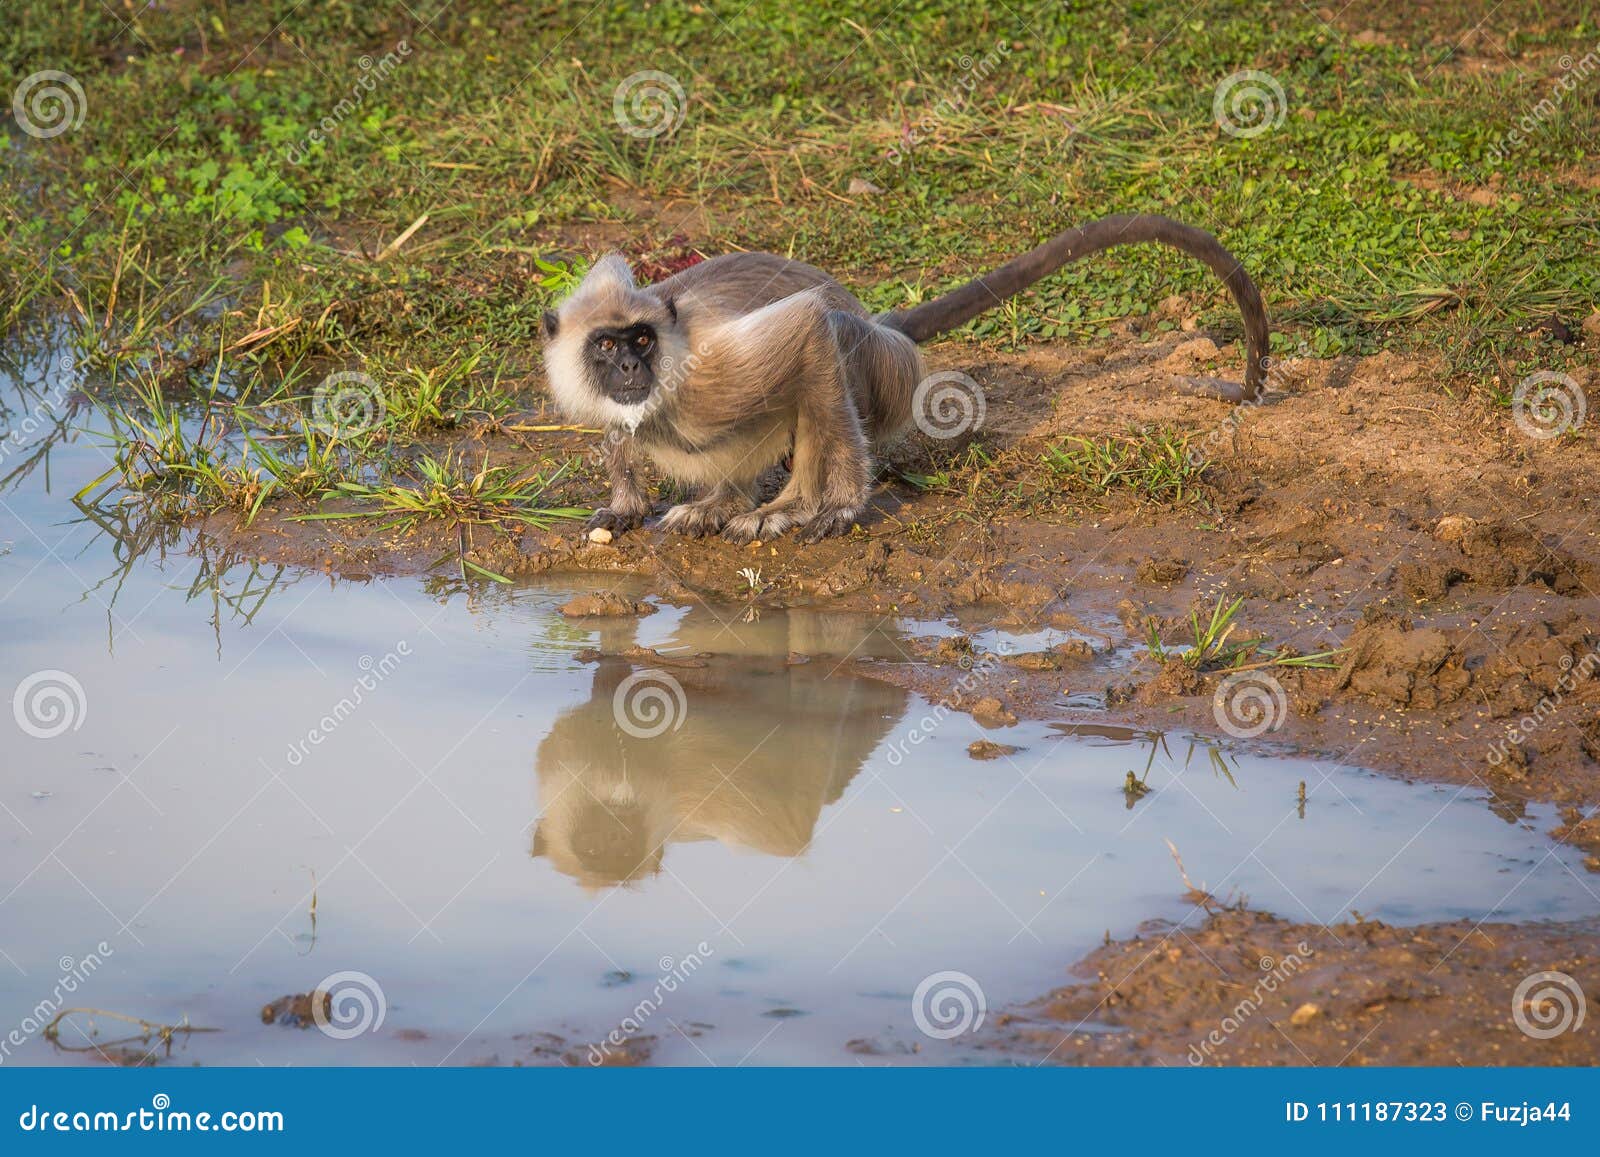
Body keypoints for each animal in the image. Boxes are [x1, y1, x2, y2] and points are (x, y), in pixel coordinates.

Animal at [541, 213, 1269, 544]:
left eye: (640, 340)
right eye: (606, 345)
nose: (631, 367)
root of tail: (877, 318)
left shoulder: (703, 373)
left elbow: (809, 328)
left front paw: (832, 506)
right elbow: (617, 432)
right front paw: (626, 506)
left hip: (879, 365)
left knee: (832, 332)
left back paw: (780, 504)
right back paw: (723, 501)